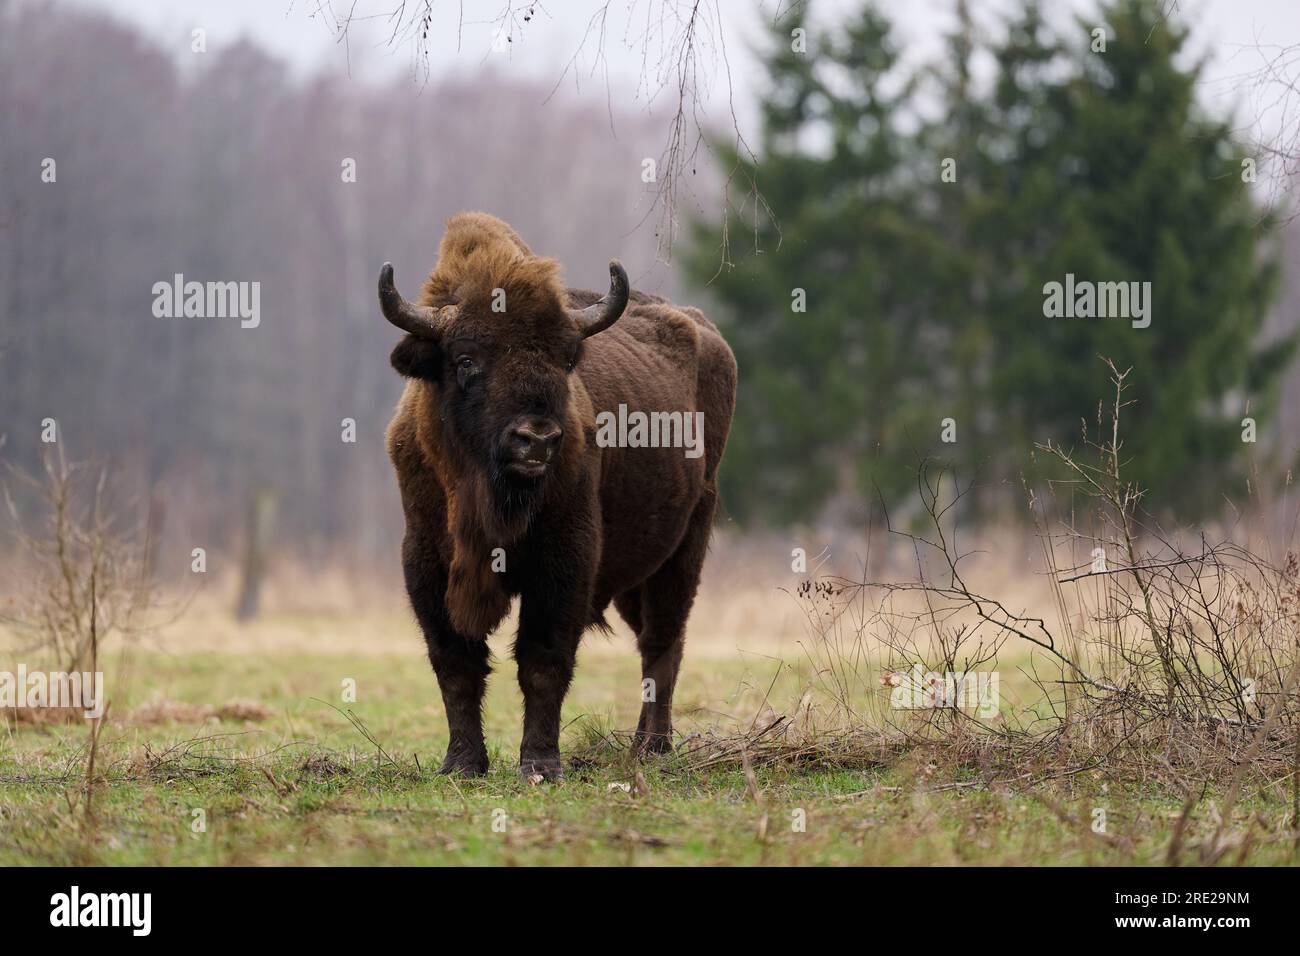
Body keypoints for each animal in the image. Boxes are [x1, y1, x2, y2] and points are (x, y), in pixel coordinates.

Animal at [380, 213, 736, 779]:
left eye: (565, 358)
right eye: (465, 360)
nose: (537, 439)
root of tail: (709, 336)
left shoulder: (565, 561)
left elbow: (543, 660)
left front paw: (541, 764)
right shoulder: (426, 560)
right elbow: (455, 661)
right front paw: (462, 763)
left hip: (687, 545)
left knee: (662, 644)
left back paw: (652, 748)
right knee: (657, 640)